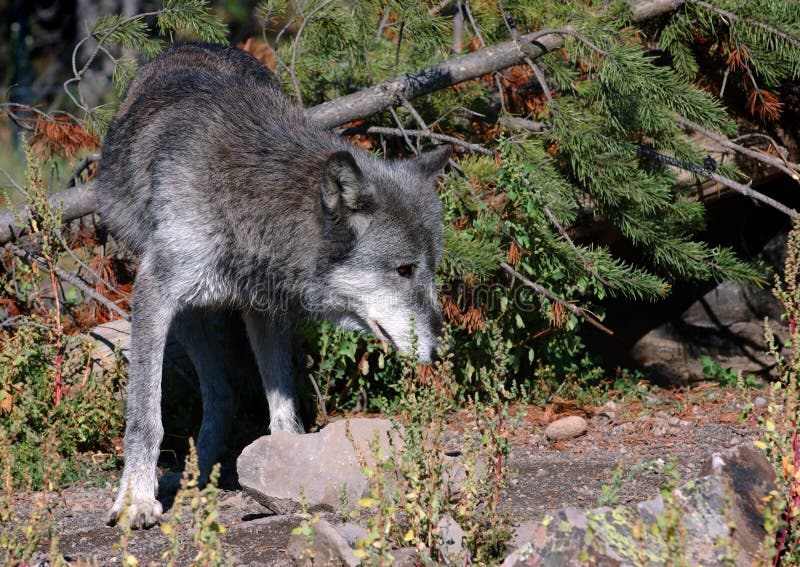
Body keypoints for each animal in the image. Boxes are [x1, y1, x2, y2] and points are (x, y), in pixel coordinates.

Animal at [95, 42, 450, 529]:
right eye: (403, 270)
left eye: (430, 269)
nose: (442, 349)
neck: (250, 200)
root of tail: (190, 44)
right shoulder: (155, 294)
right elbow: (145, 418)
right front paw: (135, 501)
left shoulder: (269, 309)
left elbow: (283, 403)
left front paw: (290, 467)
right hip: (186, 313)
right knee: (219, 390)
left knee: (226, 391)